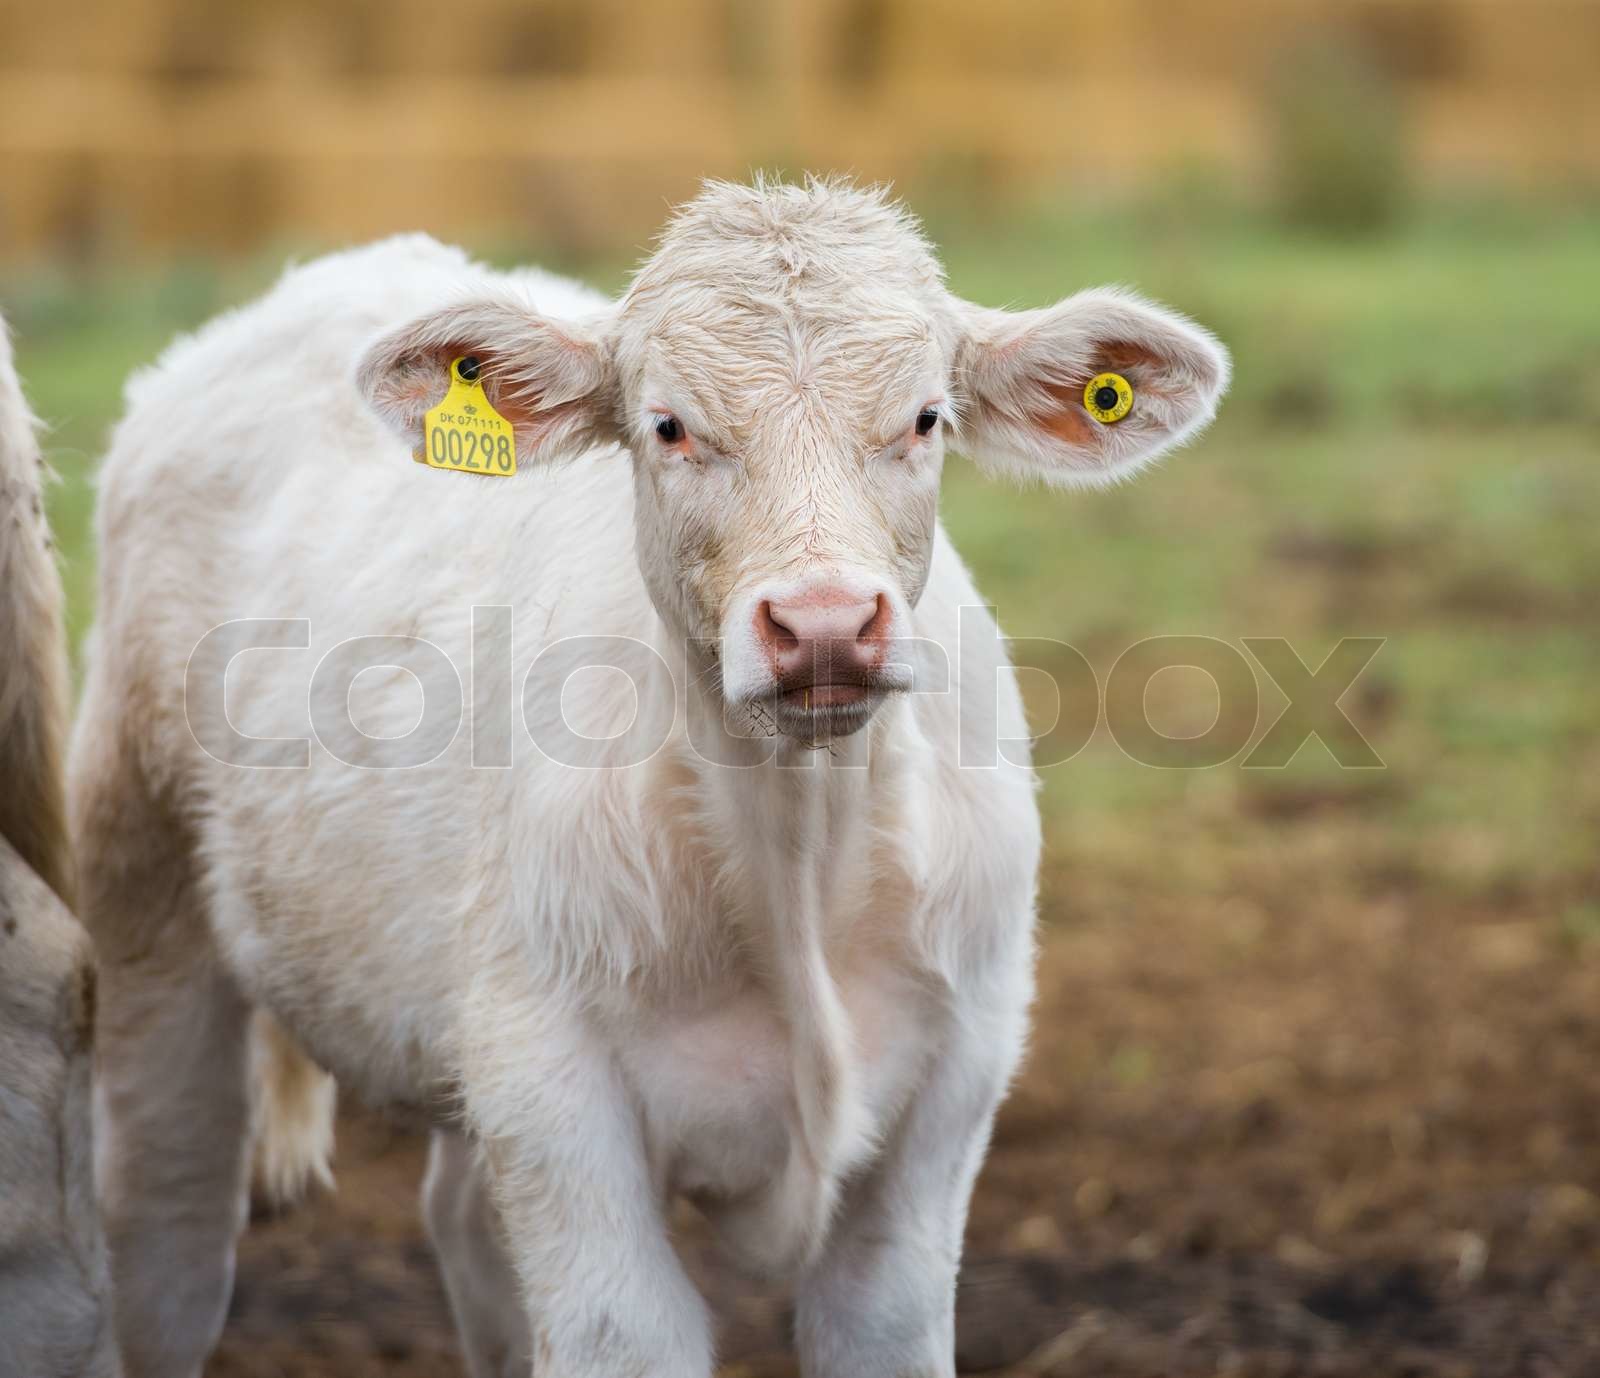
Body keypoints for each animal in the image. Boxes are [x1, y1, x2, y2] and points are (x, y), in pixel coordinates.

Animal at [70, 177, 1228, 1378]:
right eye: (668, 426)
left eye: (925, 419)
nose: (823, 625)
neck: (797, 861)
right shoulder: (550, 1090)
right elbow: (621, 1328)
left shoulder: (955, 1081)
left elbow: (881, 1318)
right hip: (141, 885)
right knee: (165, 1223)